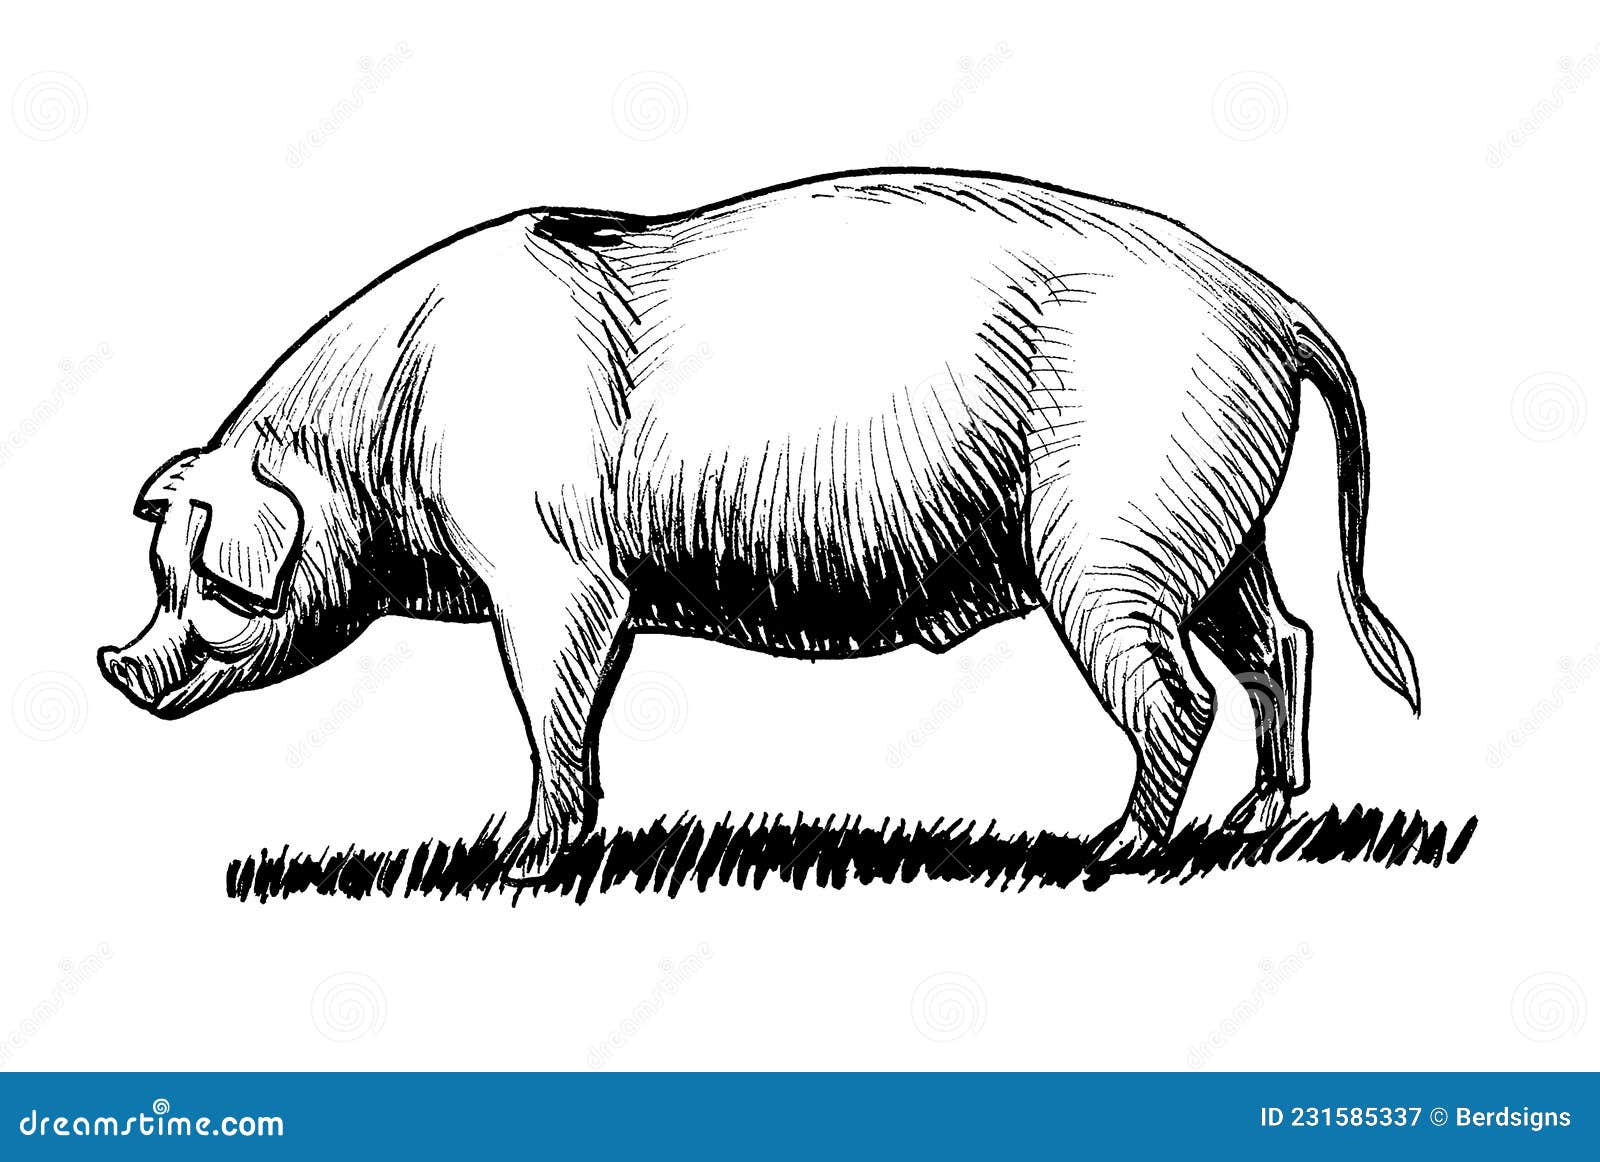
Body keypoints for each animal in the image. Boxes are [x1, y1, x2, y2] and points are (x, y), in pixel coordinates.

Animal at [99, 167, 1420, 881]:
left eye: (209, 579)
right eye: (159, 570)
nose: (115, 663)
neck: (375, 441)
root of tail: (1271, 304)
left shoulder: (557, 569)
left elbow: (554, 705)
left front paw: (521, 861)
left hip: (1111, 535)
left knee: (1180, 692)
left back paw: (1114, 850)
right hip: (1212, 523)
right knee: (1282, 639)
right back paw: (1257, 818)